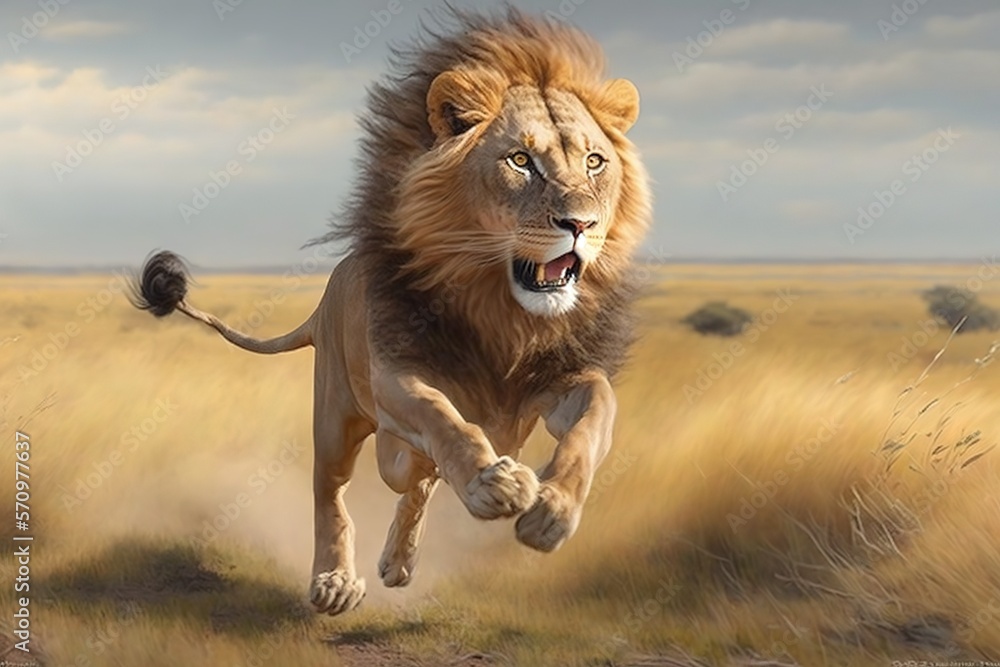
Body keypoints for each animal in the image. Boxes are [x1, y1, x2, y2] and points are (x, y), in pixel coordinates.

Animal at [129, 7, 651, 616]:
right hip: (339, 417)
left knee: (416, 479)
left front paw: (553, 511)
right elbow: (443, 418)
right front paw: (491, 483)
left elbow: (594, 419)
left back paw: (400, 560)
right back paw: (334, 579)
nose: (581, 224)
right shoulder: (398, 375)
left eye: (594, 162)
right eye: (521, 161)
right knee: (338, 490)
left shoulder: (562, 376)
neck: (504, 313)